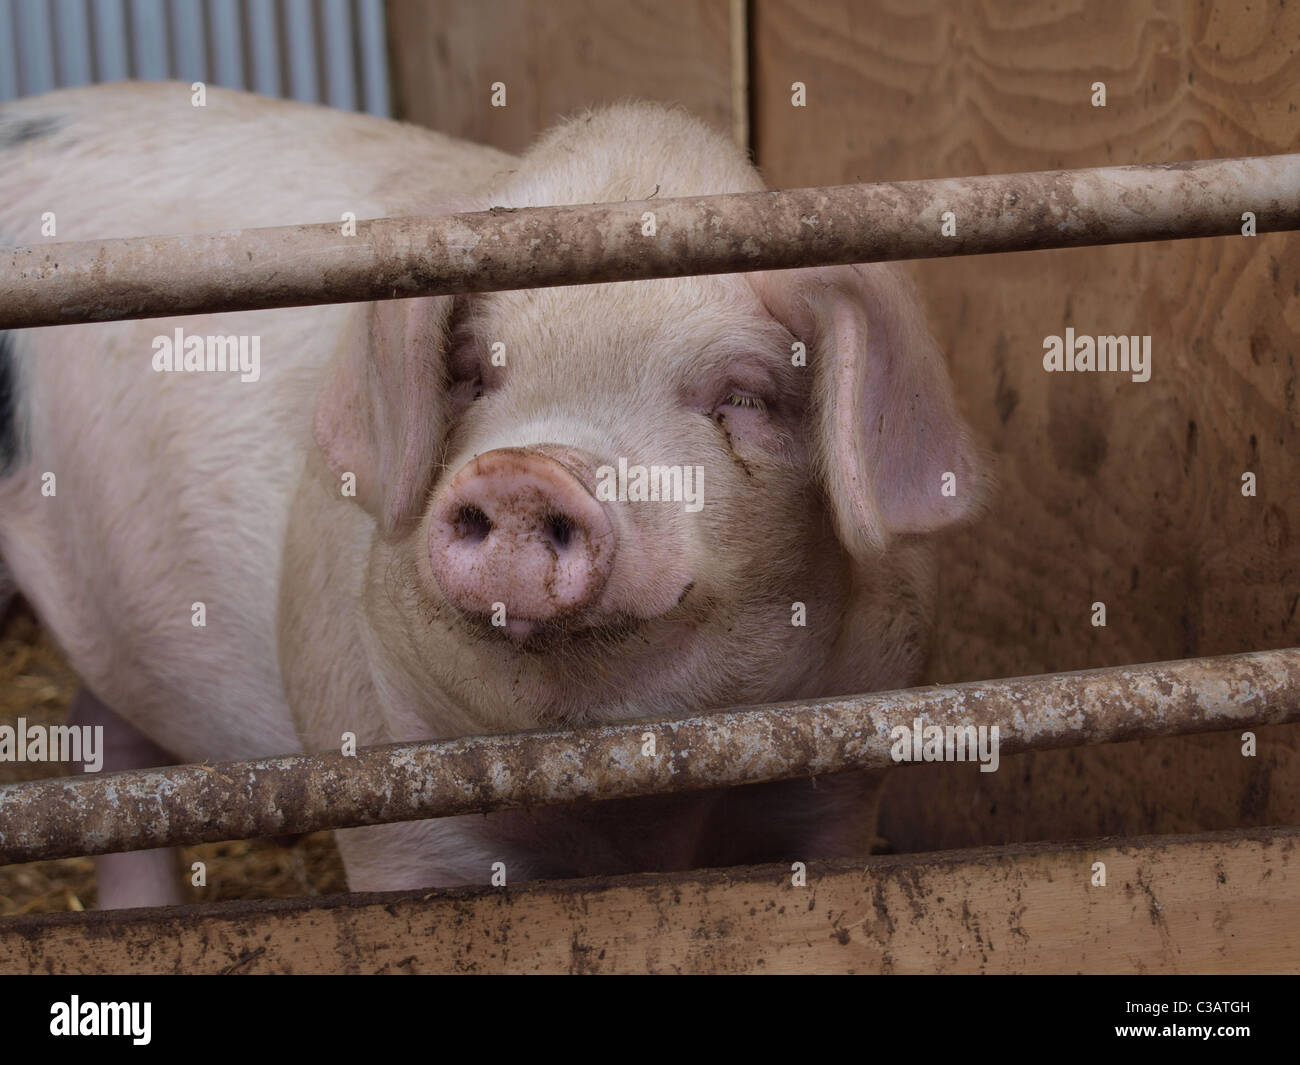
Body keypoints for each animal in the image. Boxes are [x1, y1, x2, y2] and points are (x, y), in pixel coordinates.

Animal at [0, 83, 987, 906]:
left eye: (743, 394)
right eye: (471, 369)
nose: (526, 468)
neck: (634, 811)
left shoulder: (839, 778)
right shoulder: (392, 804)